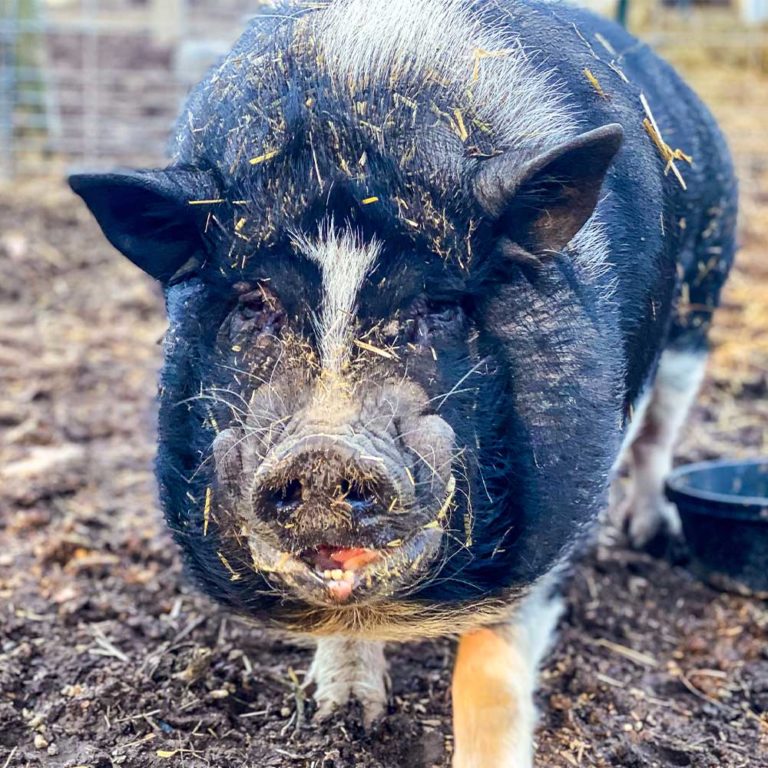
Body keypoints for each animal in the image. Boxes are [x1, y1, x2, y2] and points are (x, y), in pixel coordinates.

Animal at [69, 1, 737, 765]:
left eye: (438, 304)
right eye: (253, 301)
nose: (324, 452)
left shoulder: (561, 504)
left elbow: (491, 666)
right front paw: (343, 715)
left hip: (697, 314)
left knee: (660, 434)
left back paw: (653, 536)